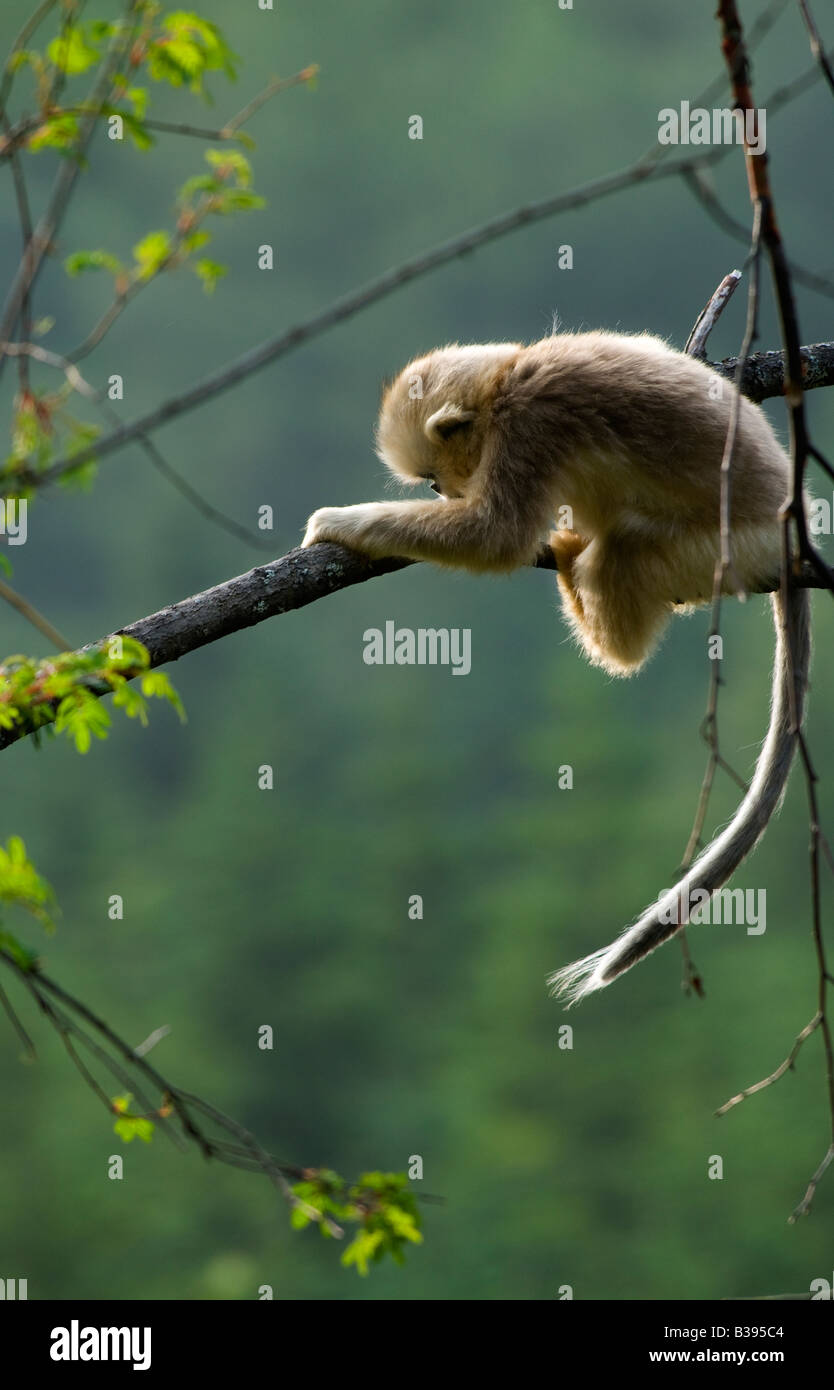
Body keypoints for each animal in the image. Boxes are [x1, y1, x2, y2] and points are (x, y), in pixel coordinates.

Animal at [302, 330, 811, 1003]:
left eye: (433, 478)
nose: (441, 494)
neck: (509, 377)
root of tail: (787, 537)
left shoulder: (529, 428)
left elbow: (495, 535)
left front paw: (344, 523)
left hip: (720, 546)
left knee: (619, 553)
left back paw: (585, 585)